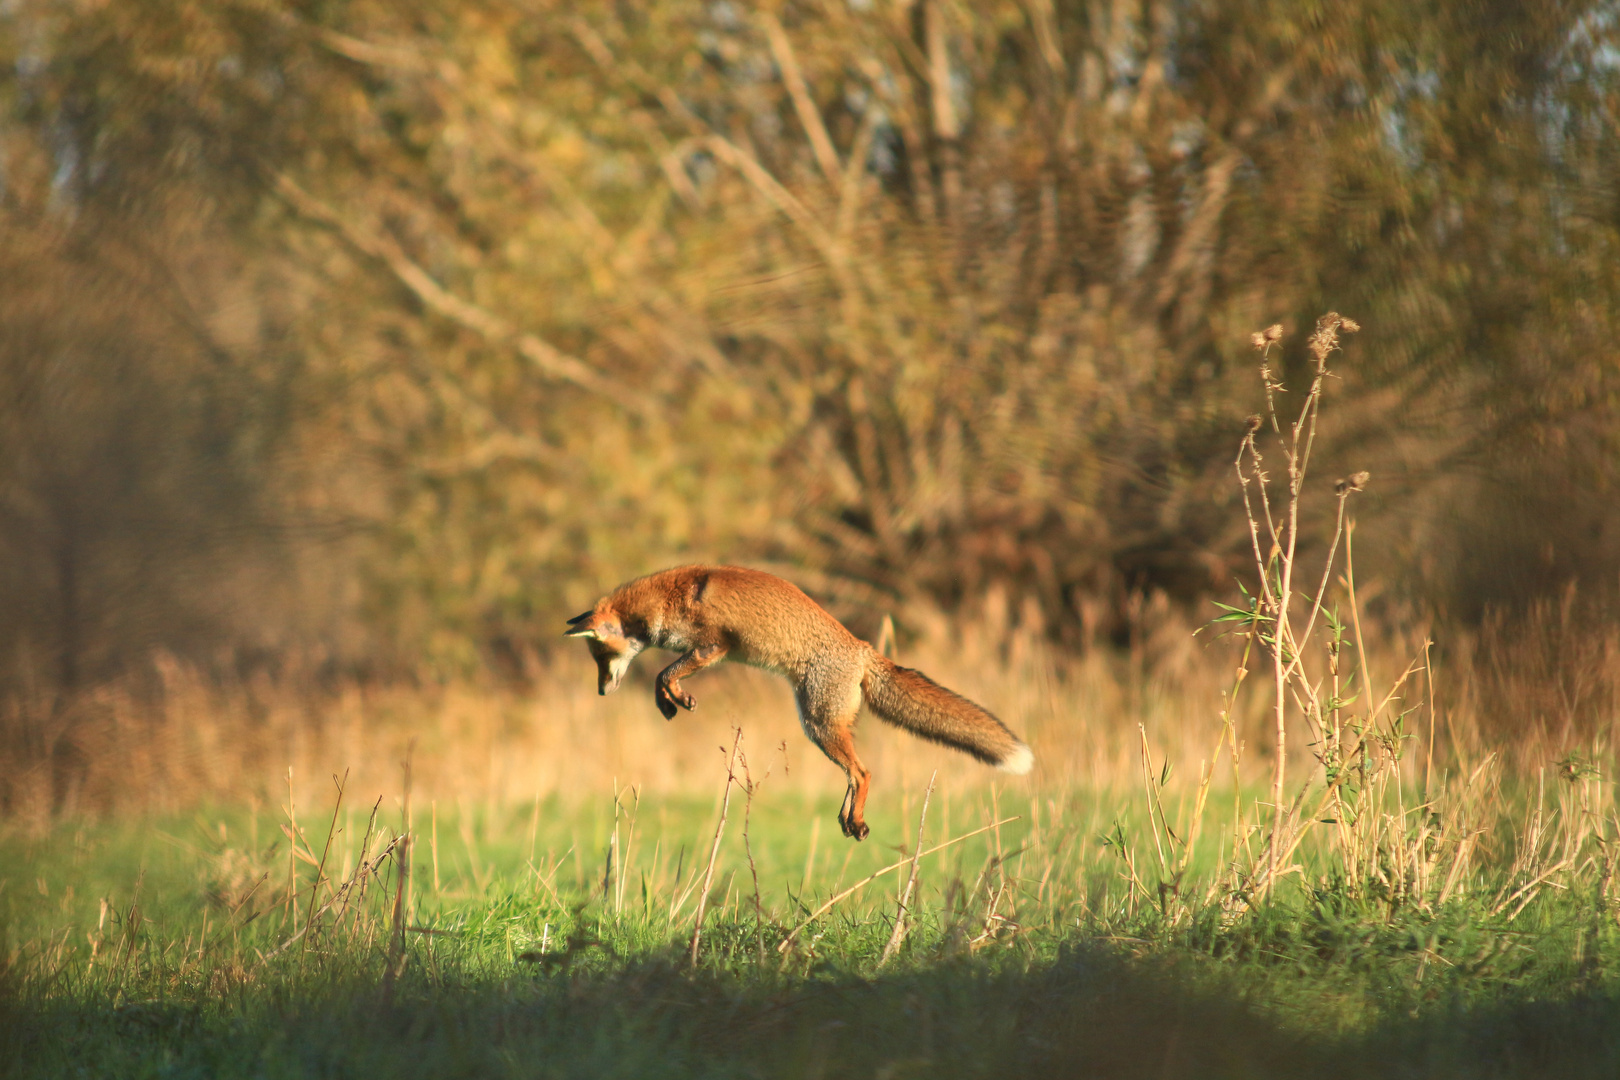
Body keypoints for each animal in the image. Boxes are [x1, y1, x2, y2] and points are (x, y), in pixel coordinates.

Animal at [565, 565, 1032, 841]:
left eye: (600, 658)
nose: (602, 692)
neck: (667, 598)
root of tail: (863, 648)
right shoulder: (704, 652)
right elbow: (661, 677)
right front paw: (667, 704)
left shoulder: (712, 646)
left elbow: (663, 674)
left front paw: (672, 699)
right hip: (820, 725)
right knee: (853, 774)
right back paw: (848, 819)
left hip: (820, 723)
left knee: (862, 772)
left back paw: (855, 819)